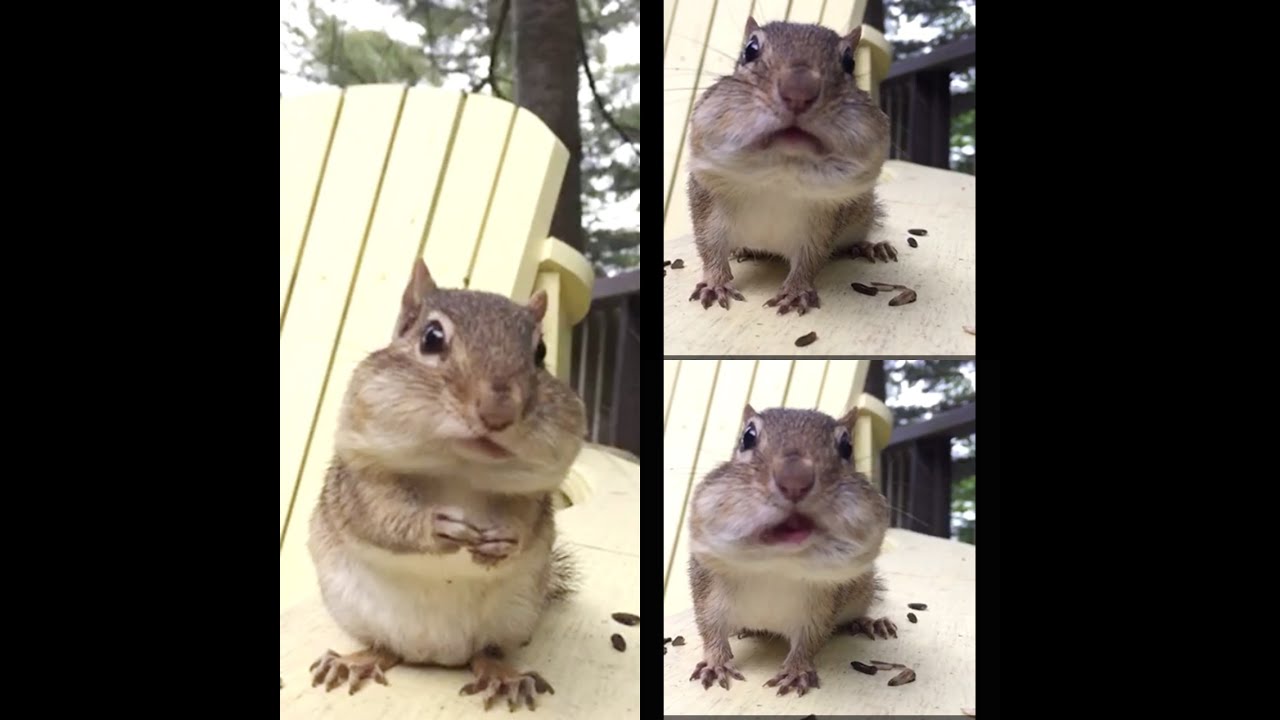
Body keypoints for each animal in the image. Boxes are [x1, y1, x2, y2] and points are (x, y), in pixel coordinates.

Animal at [305, 258, 586, 712]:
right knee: (384, 648)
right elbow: (382, 517)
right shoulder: (361, 484)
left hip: (513, 617)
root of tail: (434, 653)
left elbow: (527, 524)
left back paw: (503, 676)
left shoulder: (531, 498)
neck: (460, 470)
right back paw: (355, 660)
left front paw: (506, 539)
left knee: (484, 653)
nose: (498, 411)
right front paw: (436, 527)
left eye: (541, 354)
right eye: (431, 338)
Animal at [686, 17, 894, 316]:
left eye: (849, 62)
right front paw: (715, 282)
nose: (799, 90)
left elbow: (810, 260)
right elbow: (709, 248)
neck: (779, 176)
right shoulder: (708, 206)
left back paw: (870, 246)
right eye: (750, 50)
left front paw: (796, 291)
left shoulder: (821, 223)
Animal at [686, 404, 895, 697]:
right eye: (747, 437)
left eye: (847, 446)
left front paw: (797, 670)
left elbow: (810, 642)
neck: (777, 566)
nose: (795, 479)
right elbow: (710, 628)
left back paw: (869, 622)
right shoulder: (708, 590)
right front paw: (715, 662)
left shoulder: (820, 607)